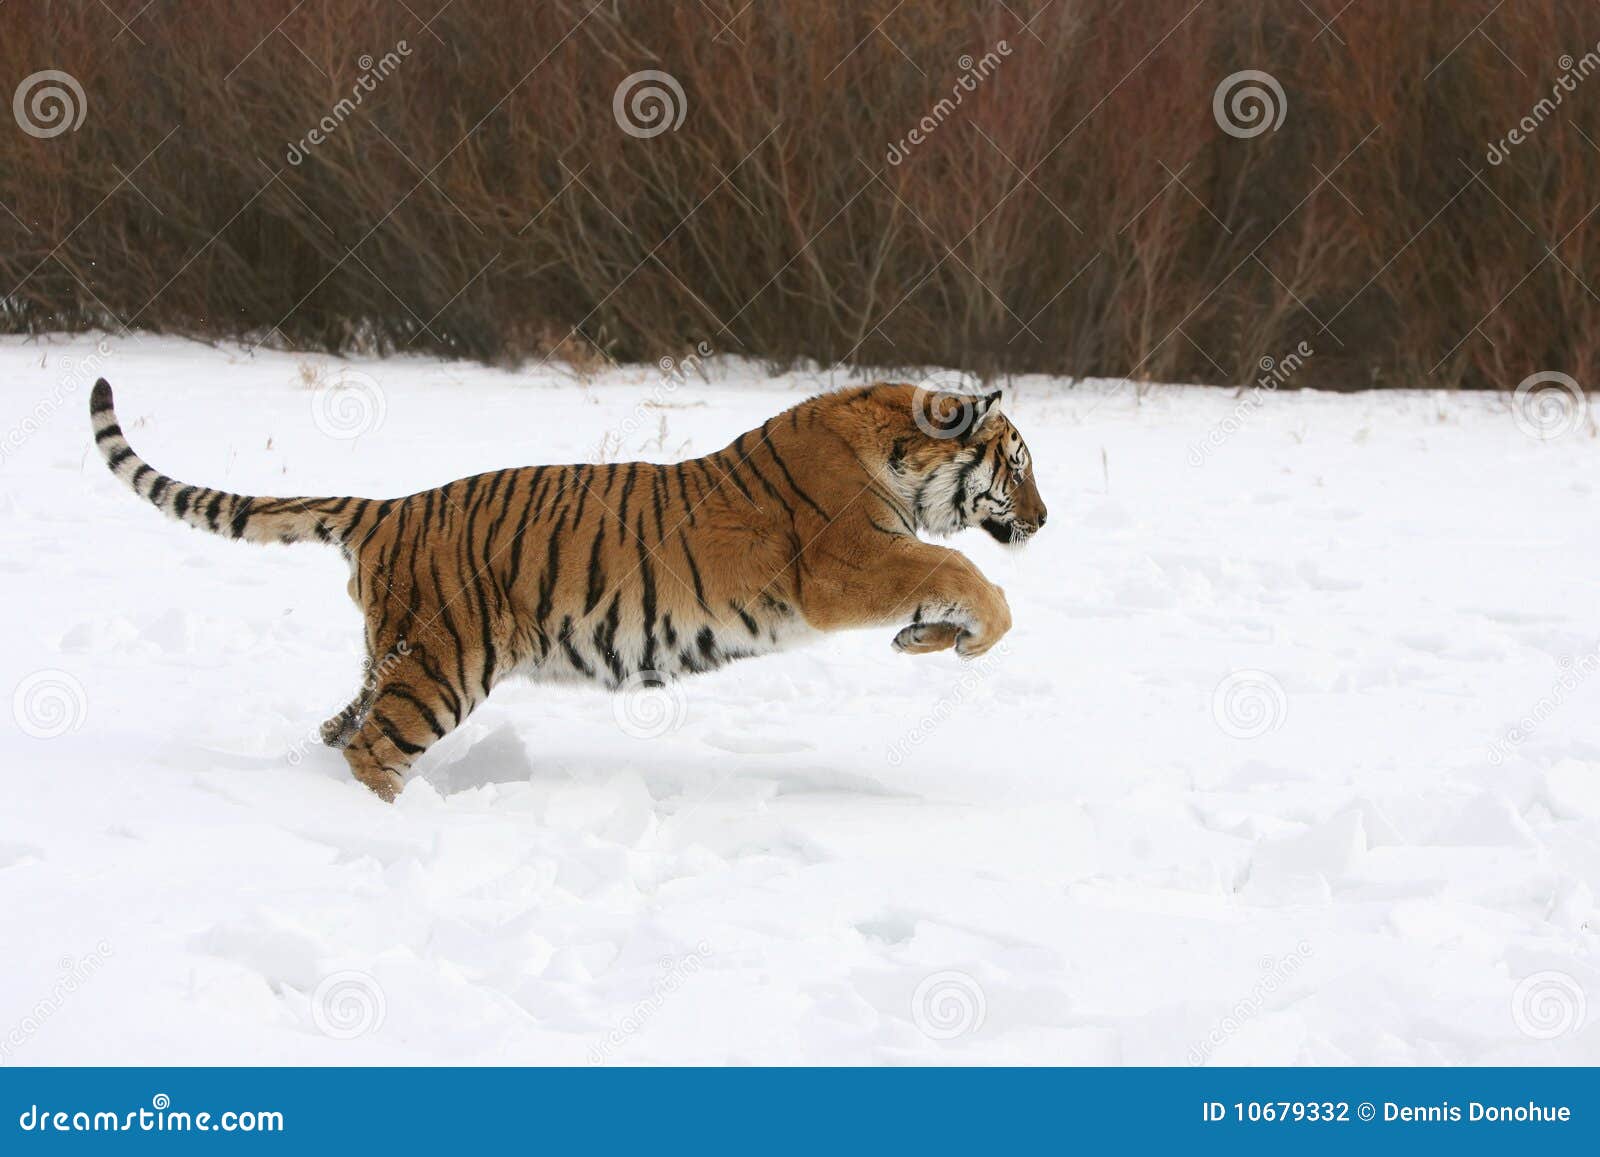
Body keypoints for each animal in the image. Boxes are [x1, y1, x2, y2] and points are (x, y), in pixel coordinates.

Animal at [89, 377, 1047, 800]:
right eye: (1018, 465)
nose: (1045, 520)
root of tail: (387, 507)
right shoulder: (850, 563)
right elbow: (967, 574)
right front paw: (972, 631)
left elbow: (949, 587)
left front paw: (926, 639)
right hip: (445, 661)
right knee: (375, 746)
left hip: (393, 651)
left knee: (341, 726)